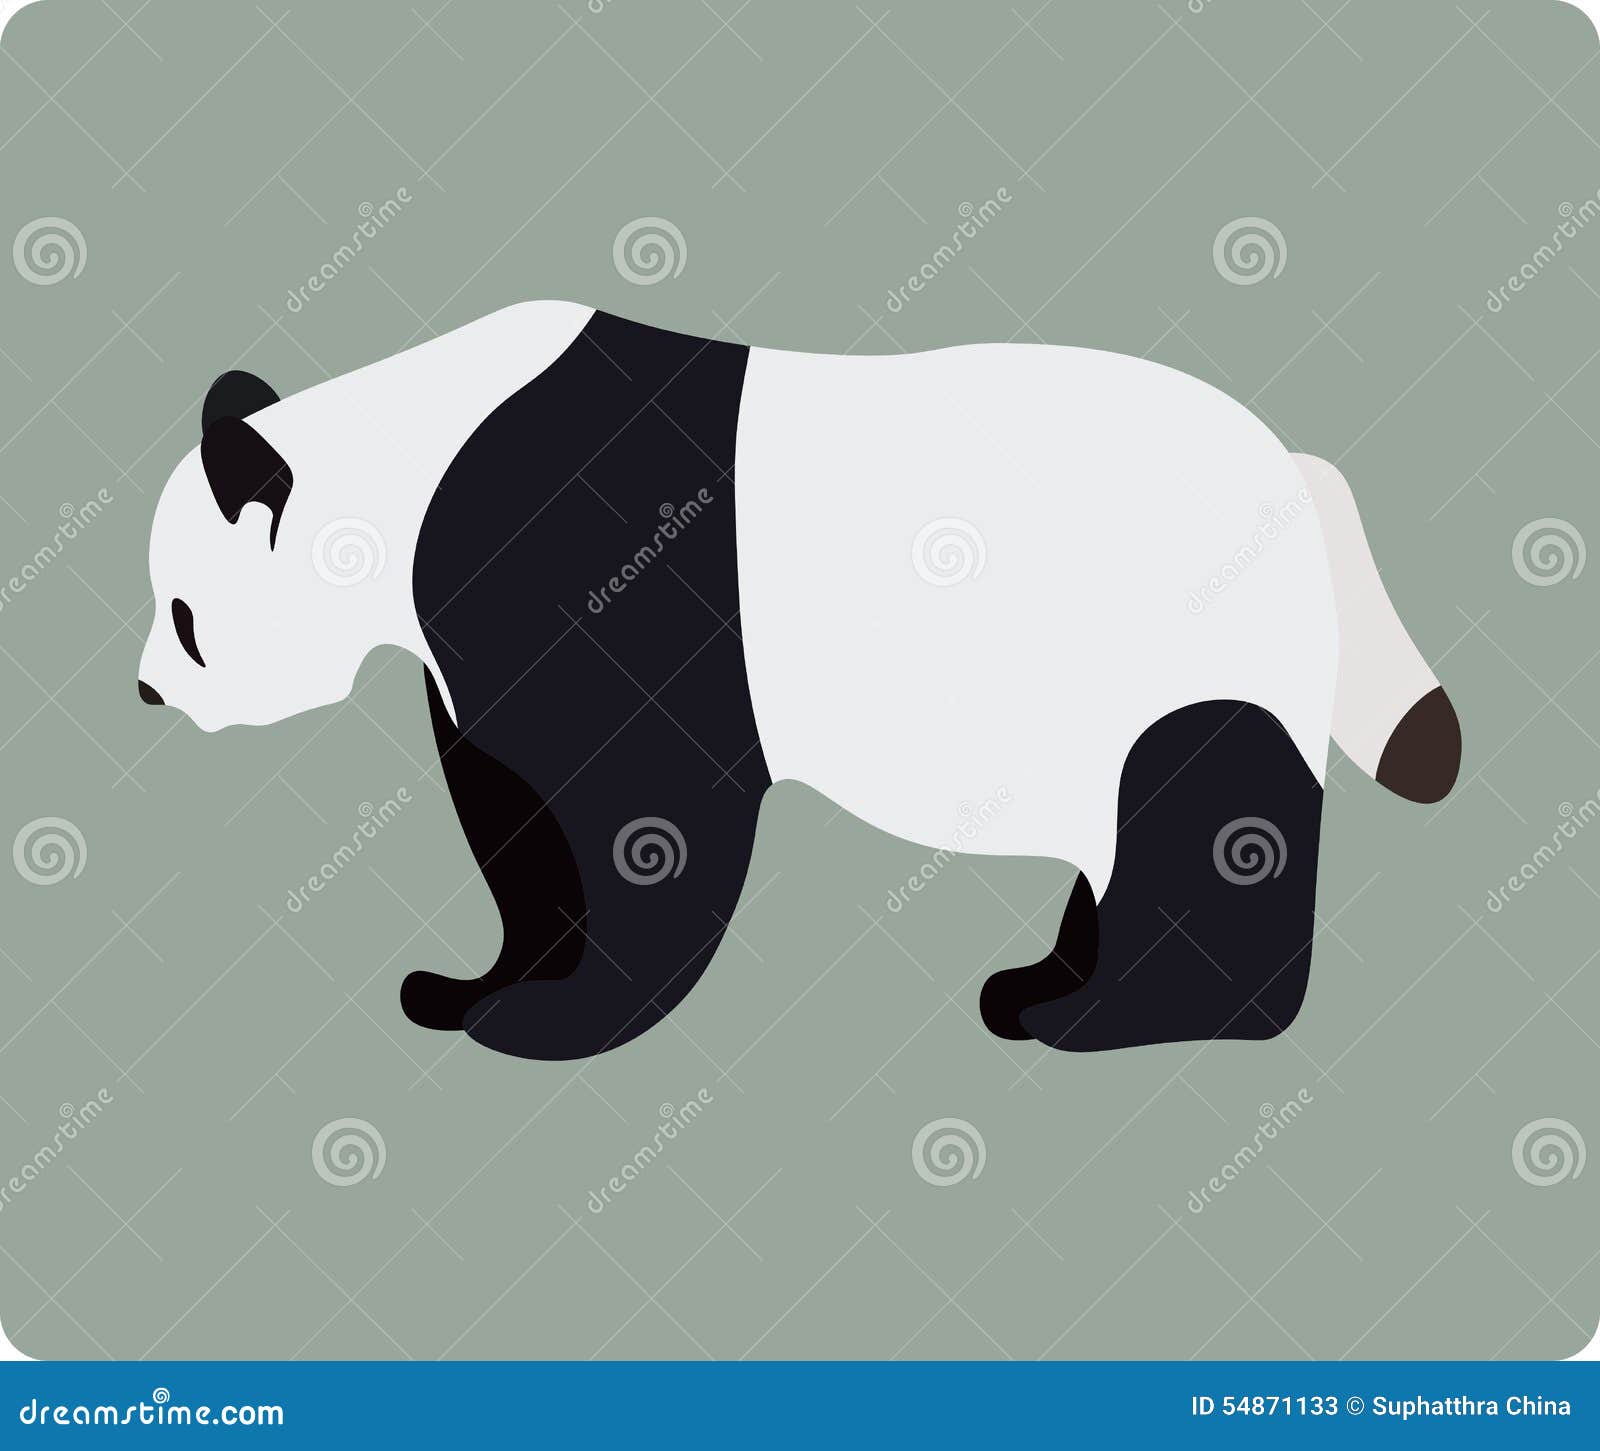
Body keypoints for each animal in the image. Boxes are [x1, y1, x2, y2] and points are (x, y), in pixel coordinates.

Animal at [139, 301, 1460, 1062]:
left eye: (184, 614)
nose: (150, 692)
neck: (403, 464)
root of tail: (1300, 468)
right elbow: (512, 803)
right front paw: (470, 984)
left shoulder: (575, 549)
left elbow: (640, 803)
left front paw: (553, 1018)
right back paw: (1044, 981)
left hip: (1187, 631)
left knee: (1205, 794)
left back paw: (1120, 1015)